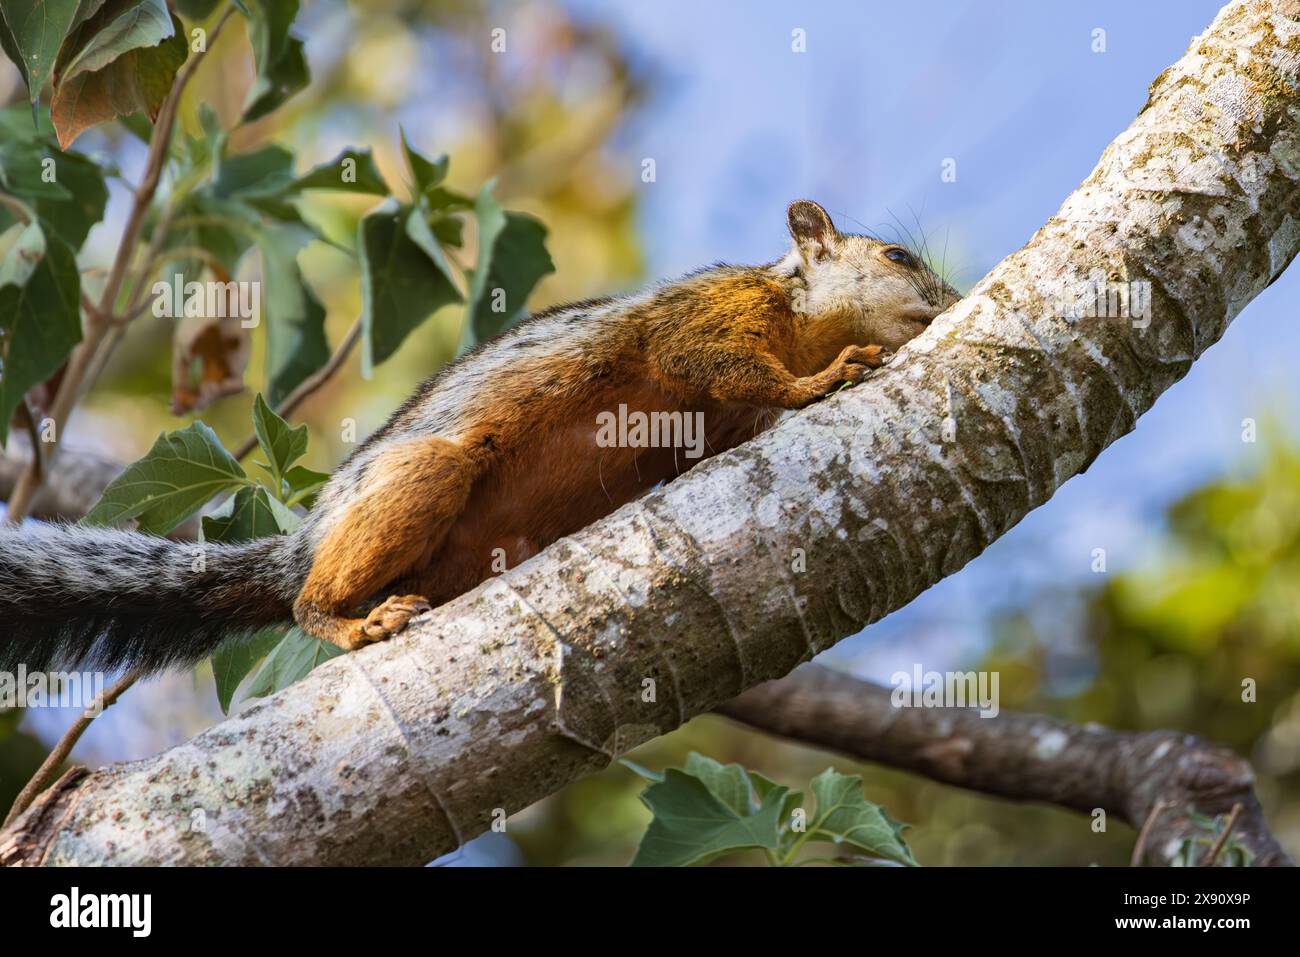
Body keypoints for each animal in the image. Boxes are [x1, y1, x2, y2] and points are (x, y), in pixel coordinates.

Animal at [0, 201, 957, 674]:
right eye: (899, 258)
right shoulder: (703, 321)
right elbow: (723, 363)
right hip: (422, 476)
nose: (947, 301)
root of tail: (305, 537)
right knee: (310, 598)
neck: (795, 310)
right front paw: (823, 380)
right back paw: (352, 620)